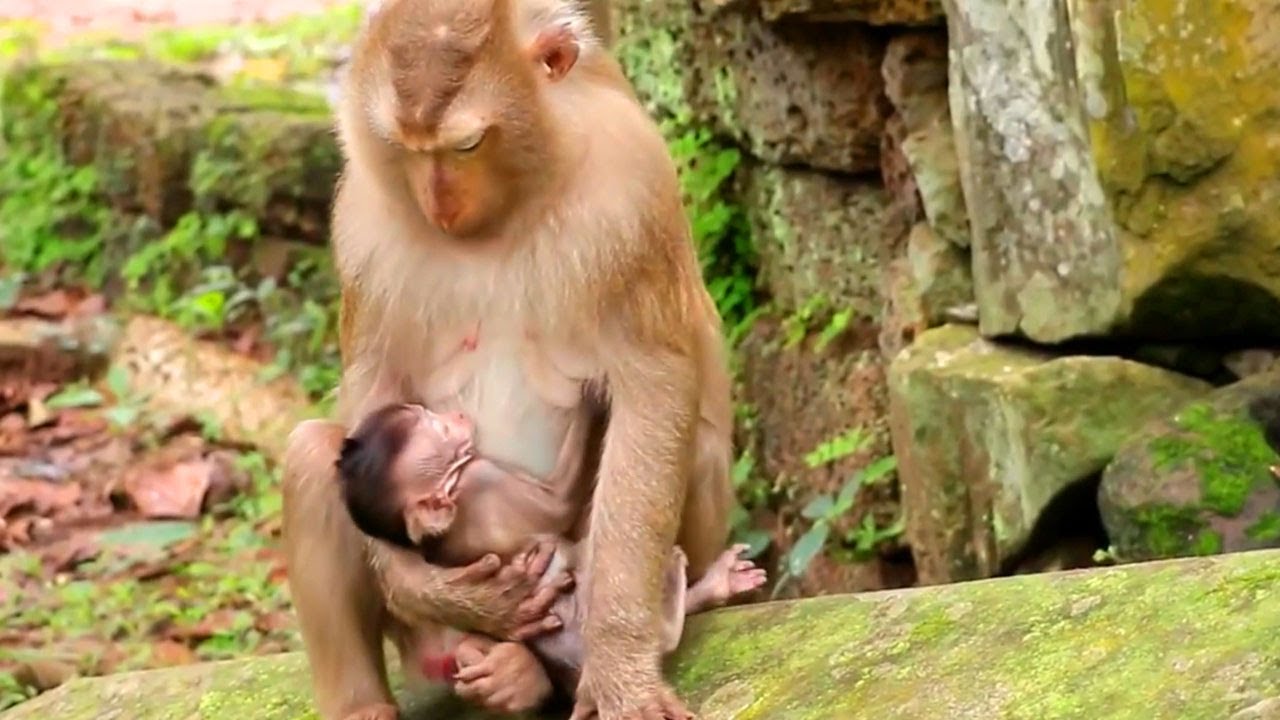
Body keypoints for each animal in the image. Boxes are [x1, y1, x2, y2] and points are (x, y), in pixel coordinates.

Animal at [280, 0, 736, 718]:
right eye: (406, 148)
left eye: (467, 145)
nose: (440, 205)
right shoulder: (359, 222)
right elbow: (374, 378)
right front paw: (423, 586)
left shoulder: (633, 191)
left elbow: (653, 386)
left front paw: (621, 669)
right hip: (419, 641)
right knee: (310, 455)